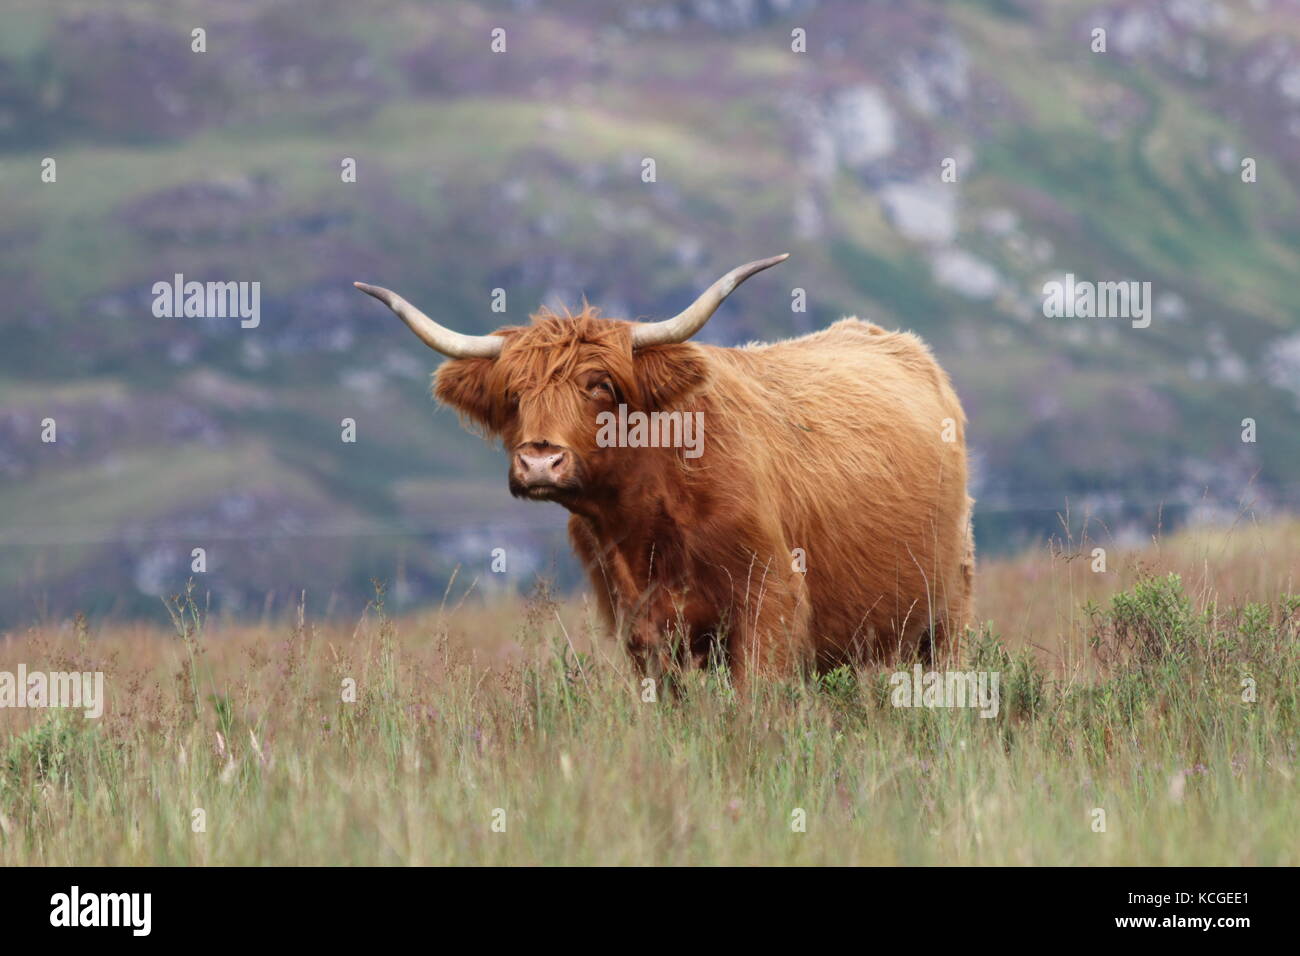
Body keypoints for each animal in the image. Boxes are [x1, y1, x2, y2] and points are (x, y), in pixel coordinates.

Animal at [355, 255, 973, 685]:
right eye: (513, 392)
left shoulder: (770, 603)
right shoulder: (642, 630)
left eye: (600, 384)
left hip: (949, 610)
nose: (539, 460)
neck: (649, 518)